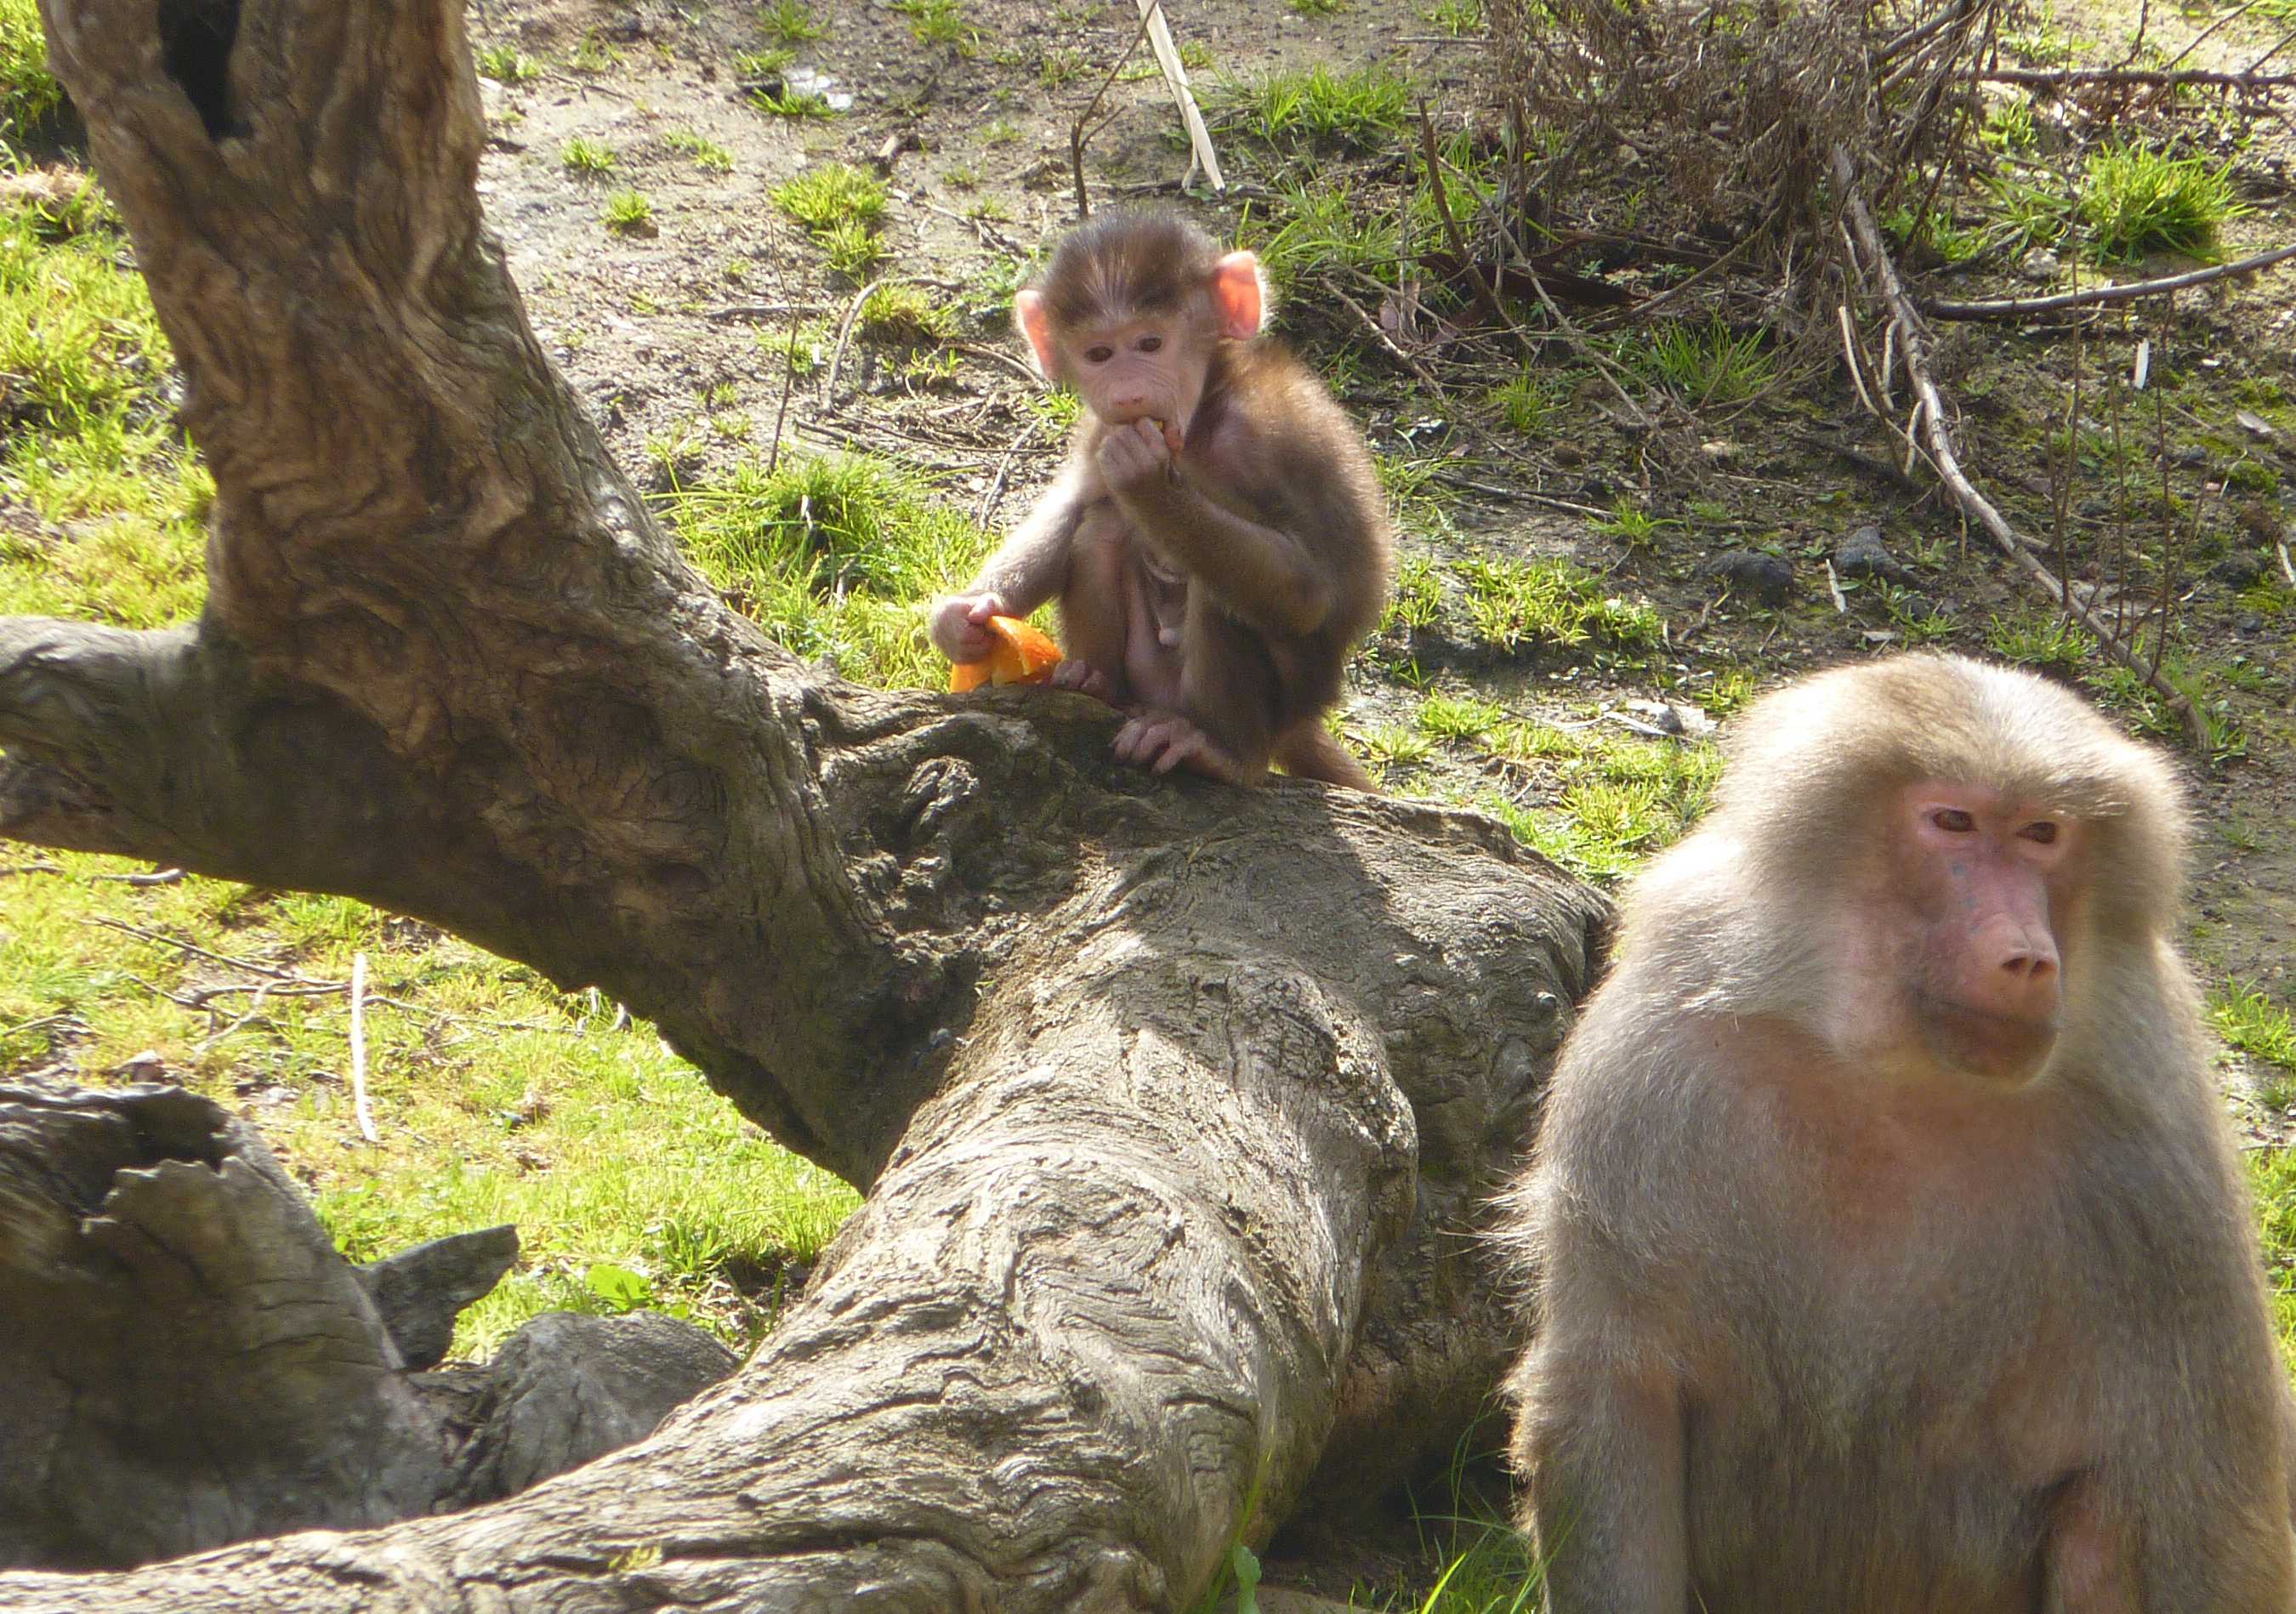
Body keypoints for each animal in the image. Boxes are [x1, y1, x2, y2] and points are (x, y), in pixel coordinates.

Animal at [928, 209, 1392, 789]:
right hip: (1147, 680)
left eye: (1150, 344)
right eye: (1100, 354)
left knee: (1219, 591)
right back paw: (1094, 684)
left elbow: (1311, 594)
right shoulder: (1101, 430)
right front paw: (966, 616)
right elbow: (1073, 504)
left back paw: (1223, 752)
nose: (1128, 393)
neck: (1201, 418)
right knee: (1101, 530)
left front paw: (1147, 484)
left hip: (1271, 704)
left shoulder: (1276, 434)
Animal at [1498, 652, 2296, 1613]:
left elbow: (2201, 1490)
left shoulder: (2154, 1153)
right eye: (1952, 821)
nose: (2027, 956)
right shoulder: (1654, 1076)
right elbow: (1621, 1392)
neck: (1898, 1077)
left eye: (2043, 833)